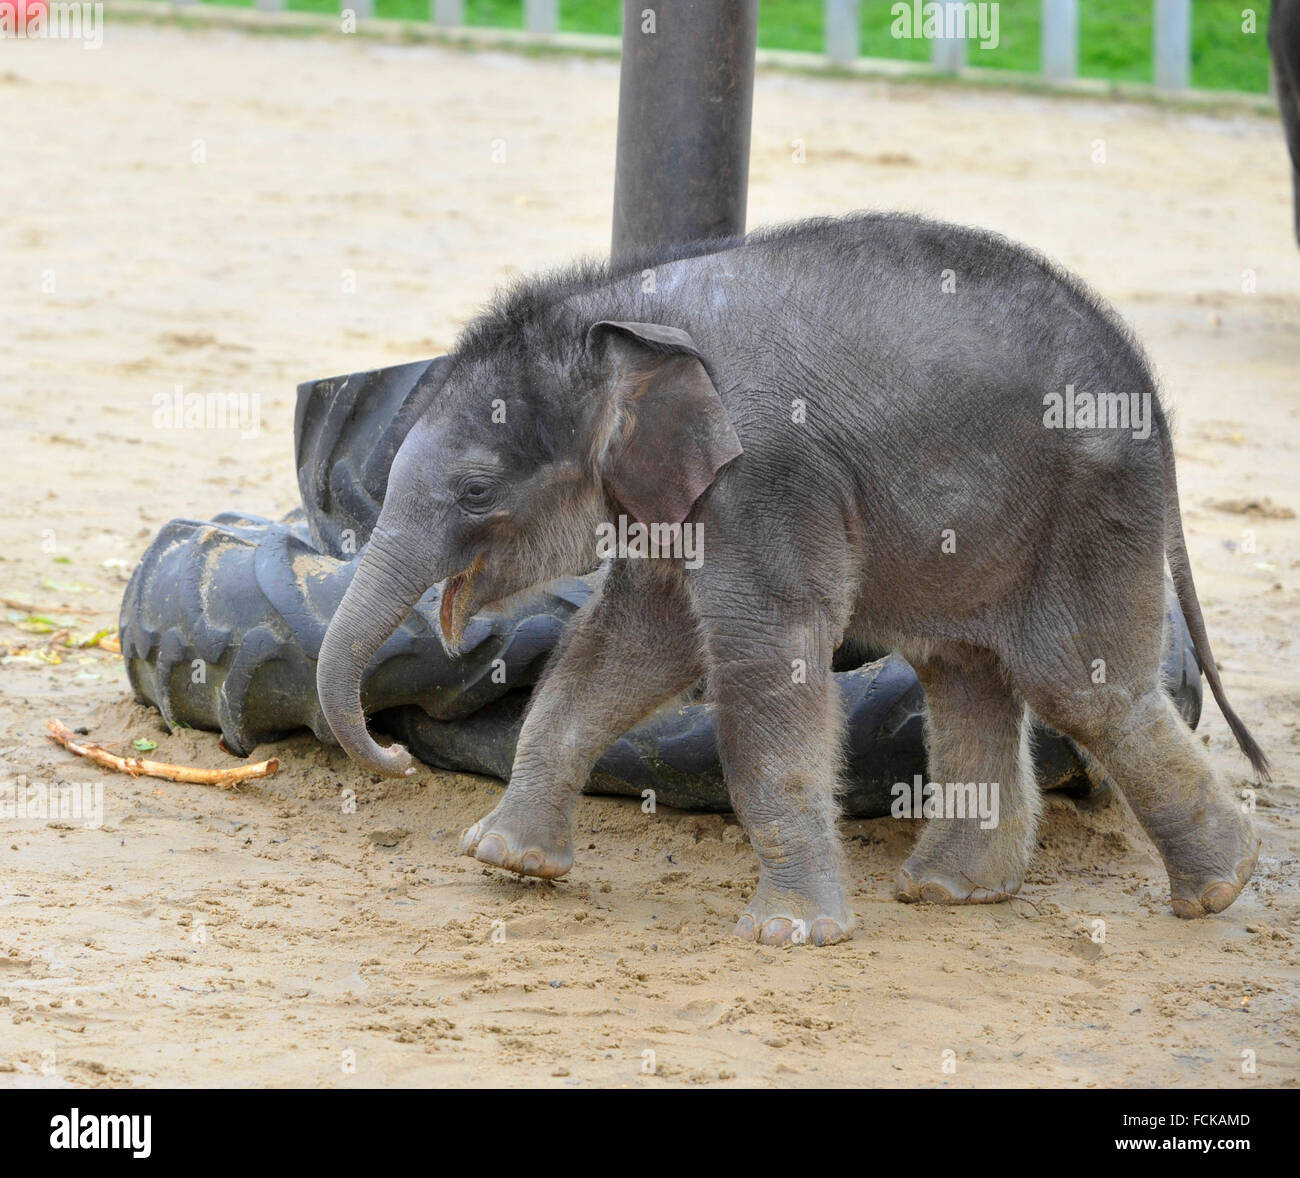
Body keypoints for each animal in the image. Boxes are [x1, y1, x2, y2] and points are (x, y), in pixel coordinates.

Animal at [316, 212, 1266, 947]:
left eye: (475, 491)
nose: (399, 757)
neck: (625, 311)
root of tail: (1155, 398)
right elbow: (633, 645)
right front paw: (504, 861)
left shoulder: (766, 475)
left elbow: (761, 662)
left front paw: (789, 935)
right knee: (965, 672)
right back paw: (954, 892)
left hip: (1087, 507)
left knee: (1079, 686)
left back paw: (1218, 888)